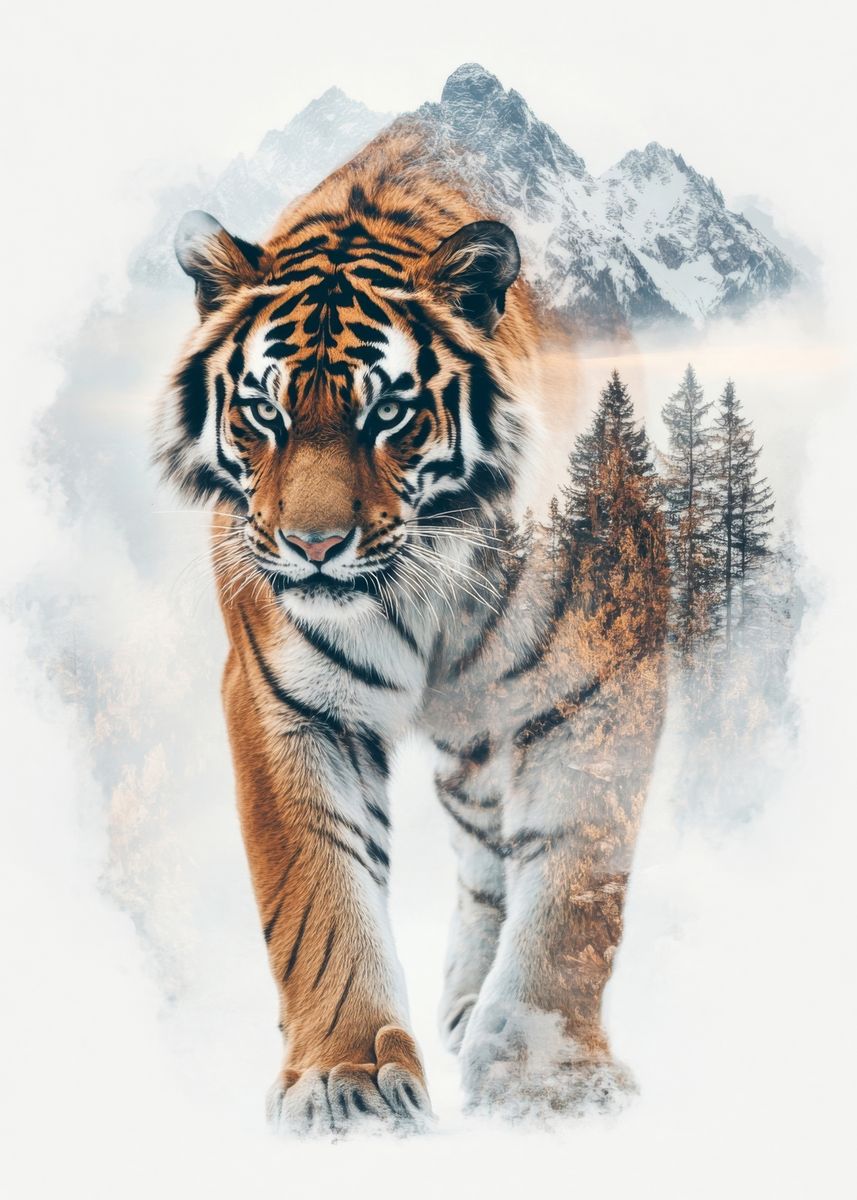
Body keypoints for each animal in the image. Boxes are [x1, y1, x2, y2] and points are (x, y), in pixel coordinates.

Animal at [156, 122, 667, 1134]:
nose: (314, 546)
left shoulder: (604, 676)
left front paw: (546, 1073)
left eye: (387, 412)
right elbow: (317, 895)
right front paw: (344, 1080)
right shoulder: (286, 701)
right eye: (264, 411)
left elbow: (576, 887)